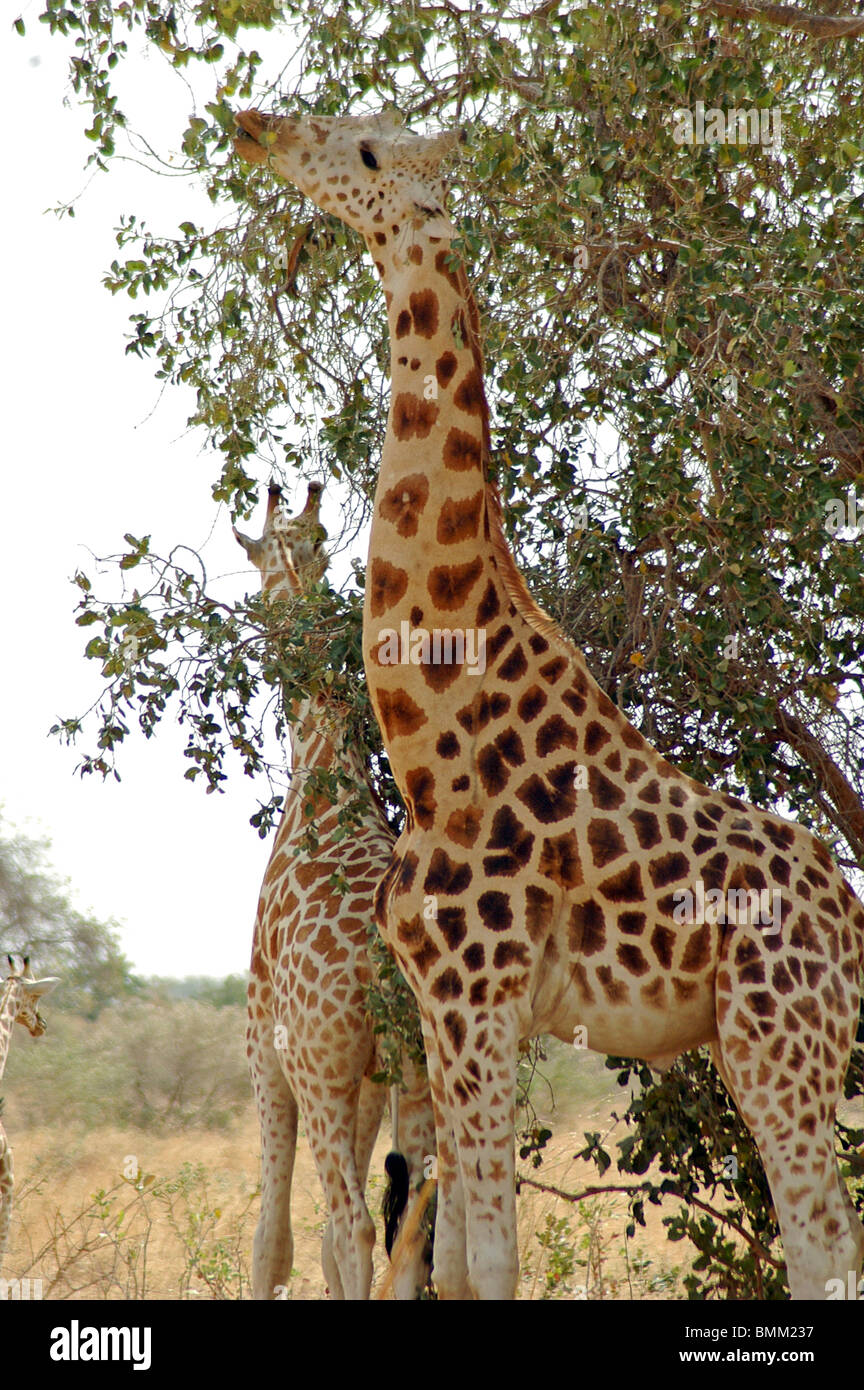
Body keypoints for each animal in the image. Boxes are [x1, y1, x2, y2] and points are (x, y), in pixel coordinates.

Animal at [235, 110, 864, 1301]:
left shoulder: (477, 994)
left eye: (371, 151)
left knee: (821, 1241)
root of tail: (850, 911)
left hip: (784, 1036)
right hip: (757, 1039)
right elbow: (455, 1260)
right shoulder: (447, 1011)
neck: (435, 732)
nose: (255, 125)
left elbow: (481, 1262)